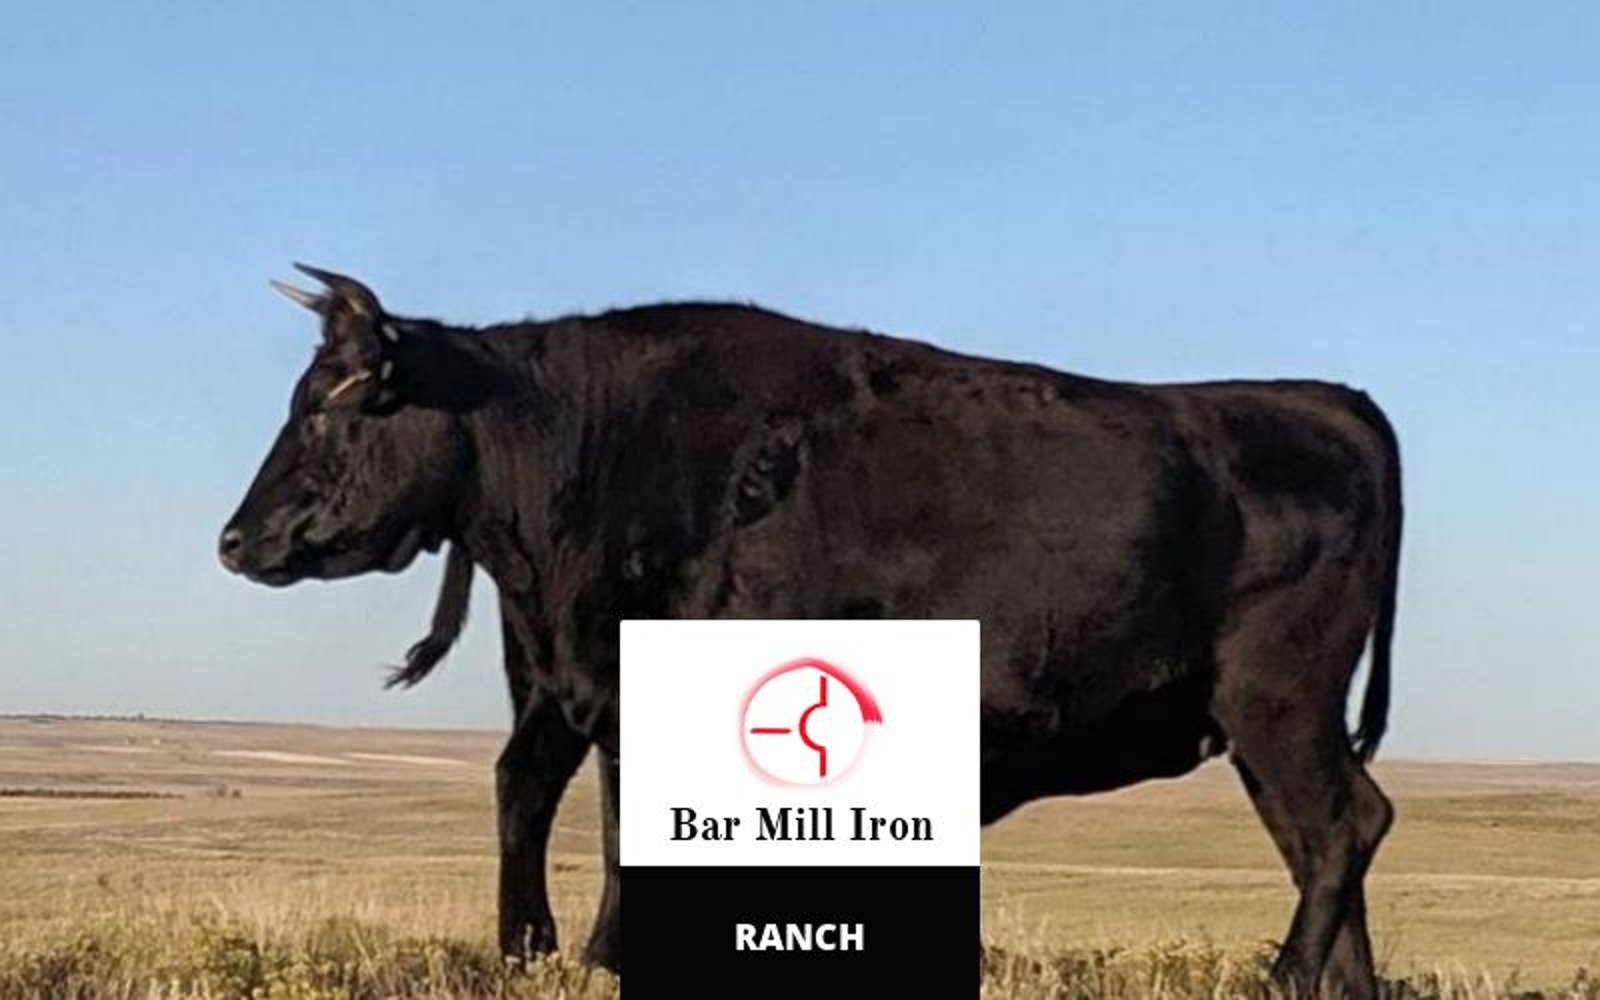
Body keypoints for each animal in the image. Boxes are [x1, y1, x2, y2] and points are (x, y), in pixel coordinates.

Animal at [220, 264, 1402, 998]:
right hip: (1260, 727)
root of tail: (1326, 400)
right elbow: (582, 811)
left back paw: (1281, 977)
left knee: (1342, 824)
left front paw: (596, 955)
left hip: (1277, 707)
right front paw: (572, 956)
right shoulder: (587, 698)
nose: (238, 540)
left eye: (331, 407)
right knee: (1324, 840)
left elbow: (616, 828)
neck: (581, 439)